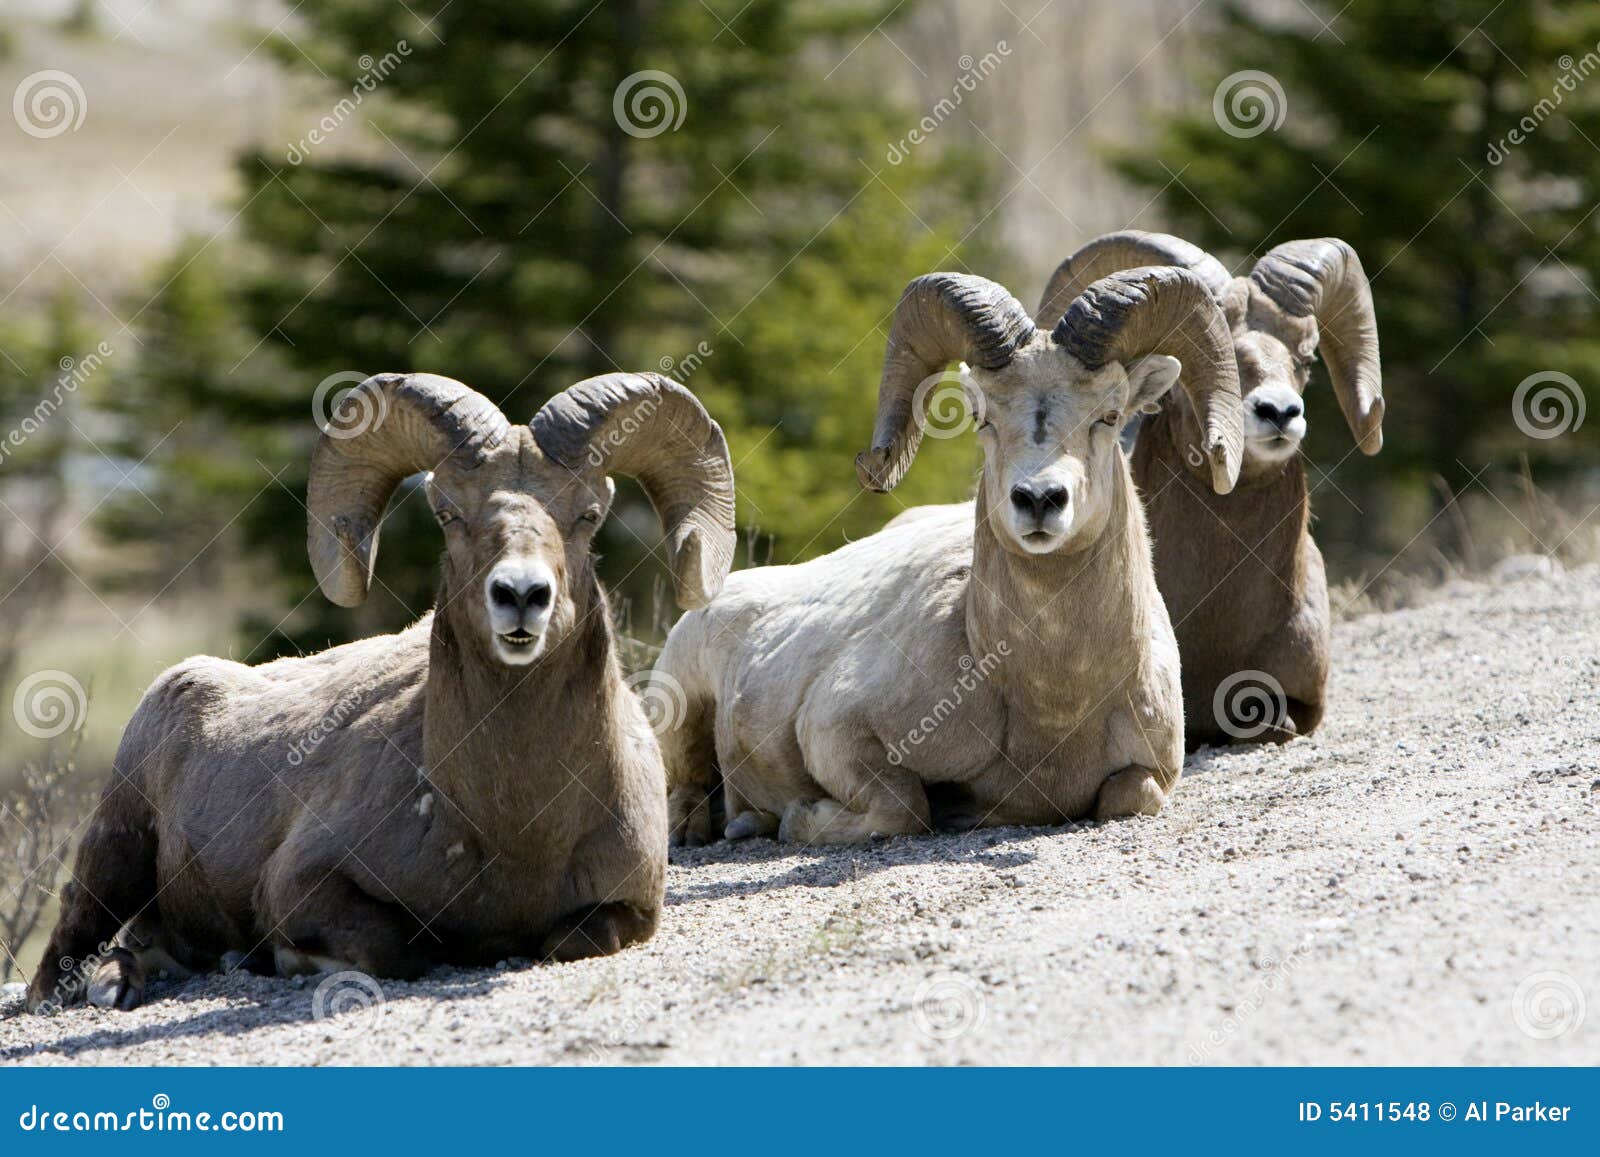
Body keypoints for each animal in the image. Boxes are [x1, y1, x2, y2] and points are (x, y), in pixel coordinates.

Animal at [26, 371, 735, 1012]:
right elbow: (399, 948)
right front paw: (289, 961)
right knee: (72, 943)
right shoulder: (301, 884)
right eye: (448, 513)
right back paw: (104, 988)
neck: (515, 830)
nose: (520, 597)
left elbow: (570, 940)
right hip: (115, 847)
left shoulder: (630, 908)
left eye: (588, 515)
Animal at [658, 266, 1243, 847]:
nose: (1038, 500)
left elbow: (1129, 796)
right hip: (681, 710)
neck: (1053, 707)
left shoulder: (1153, 773)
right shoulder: (833, 731)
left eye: (1110, 415)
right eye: (981, 417)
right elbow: (904, 807)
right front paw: (800, 817)